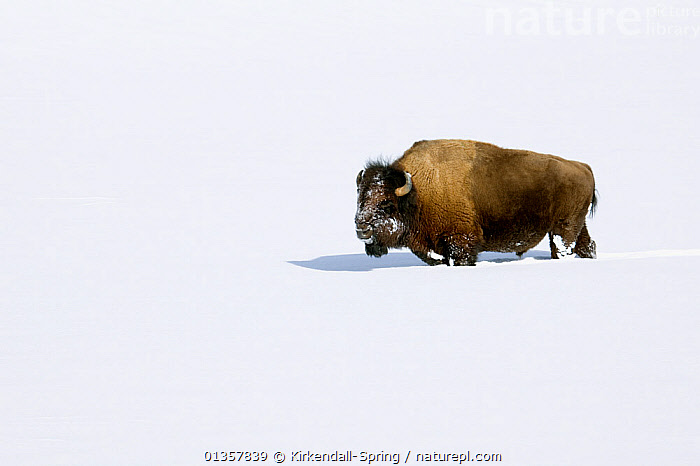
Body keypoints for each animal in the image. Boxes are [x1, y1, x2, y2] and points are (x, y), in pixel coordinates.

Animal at [355, 139, 597, 266]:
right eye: (360, 200)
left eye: (386, 204)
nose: (361, 229)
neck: (418, 192)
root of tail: (583, 167)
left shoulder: (461, 241)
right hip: (577, 225)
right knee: (587, 245)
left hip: (563, 227)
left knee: (562, 248)